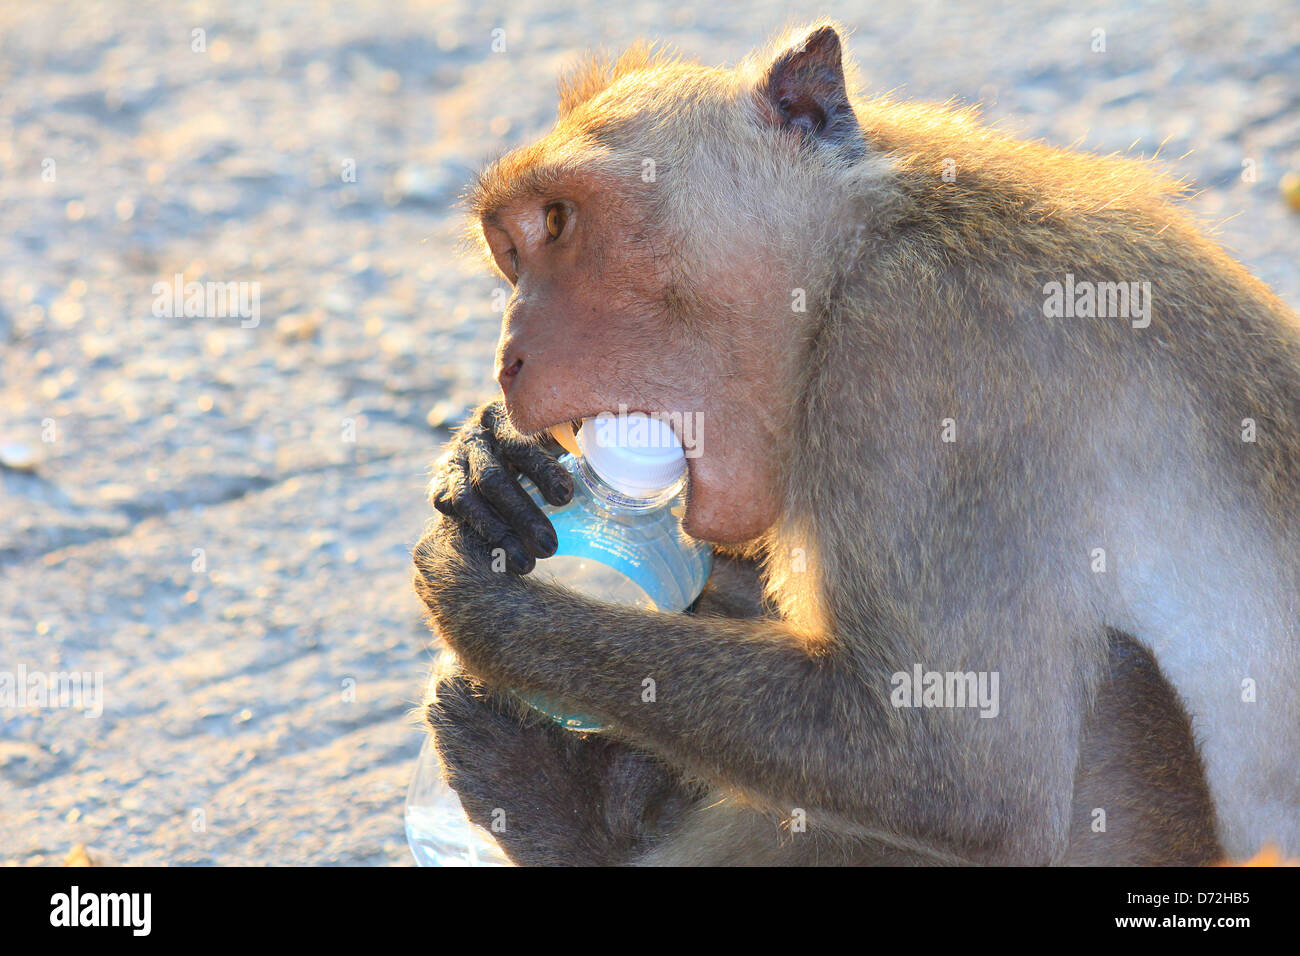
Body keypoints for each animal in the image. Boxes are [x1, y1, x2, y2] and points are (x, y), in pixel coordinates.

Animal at [414, 21, 1299, 864]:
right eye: (511, 253)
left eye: (558, 222)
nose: (508, 359)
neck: (854, 254)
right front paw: (495, 468)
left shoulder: (917, 362)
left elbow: (954, 773)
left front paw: (490, 609)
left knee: (1106, 691)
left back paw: (562, 818)